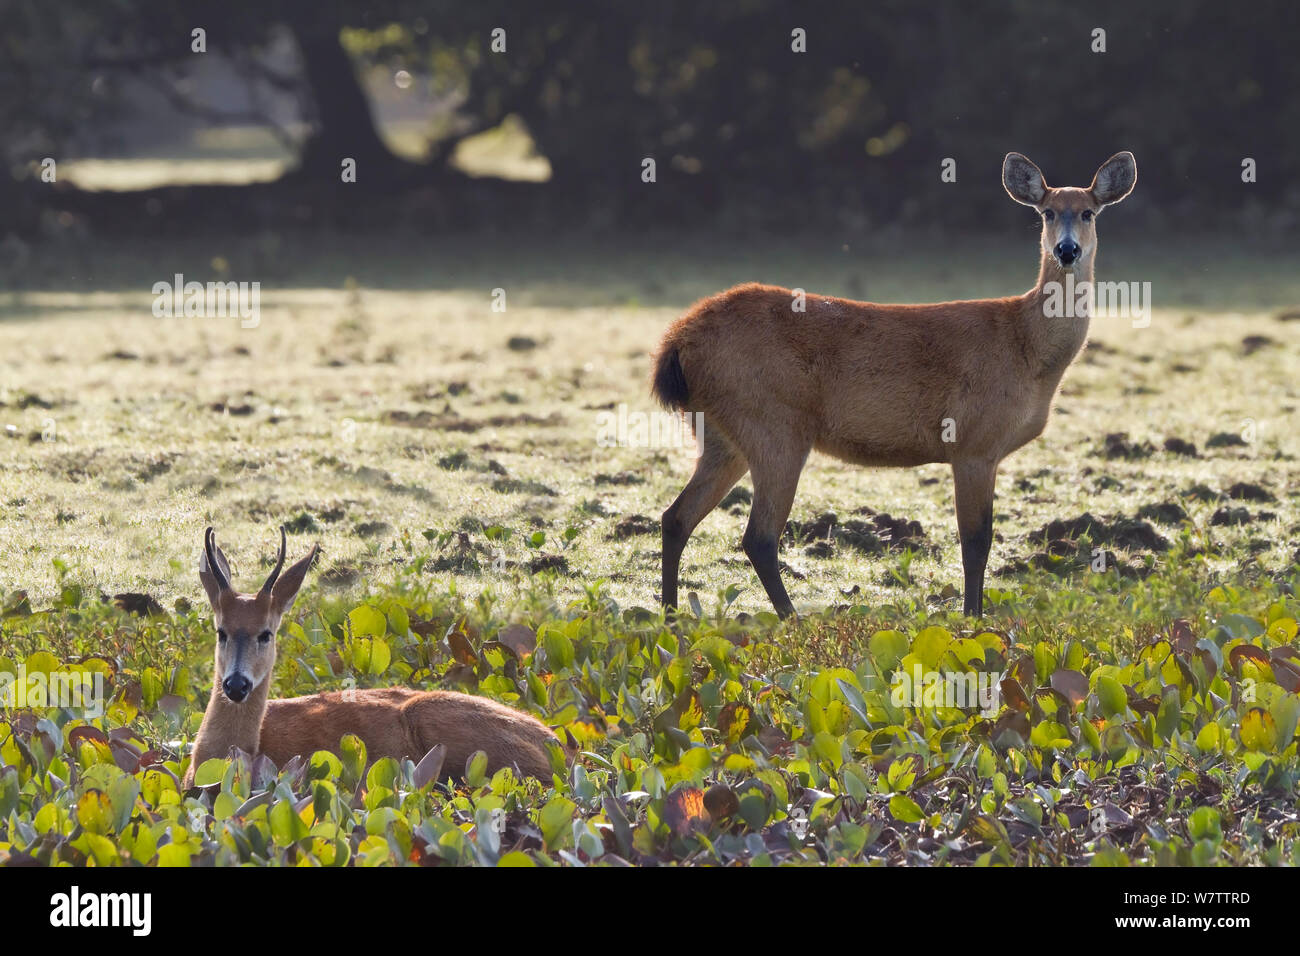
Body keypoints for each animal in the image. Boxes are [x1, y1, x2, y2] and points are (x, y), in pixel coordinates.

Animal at [651, 151, 1137, 619]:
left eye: (1089, 212)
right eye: (1048, 211)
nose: (1067, 249)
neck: (1030, 354)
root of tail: (678, 339)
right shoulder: (973, 442)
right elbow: (976, 541)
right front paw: (974, 620)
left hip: (721, 433)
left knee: (676, 517)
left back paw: (671, 615)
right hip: (774, 423)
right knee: (758, 537)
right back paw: (792, 619)